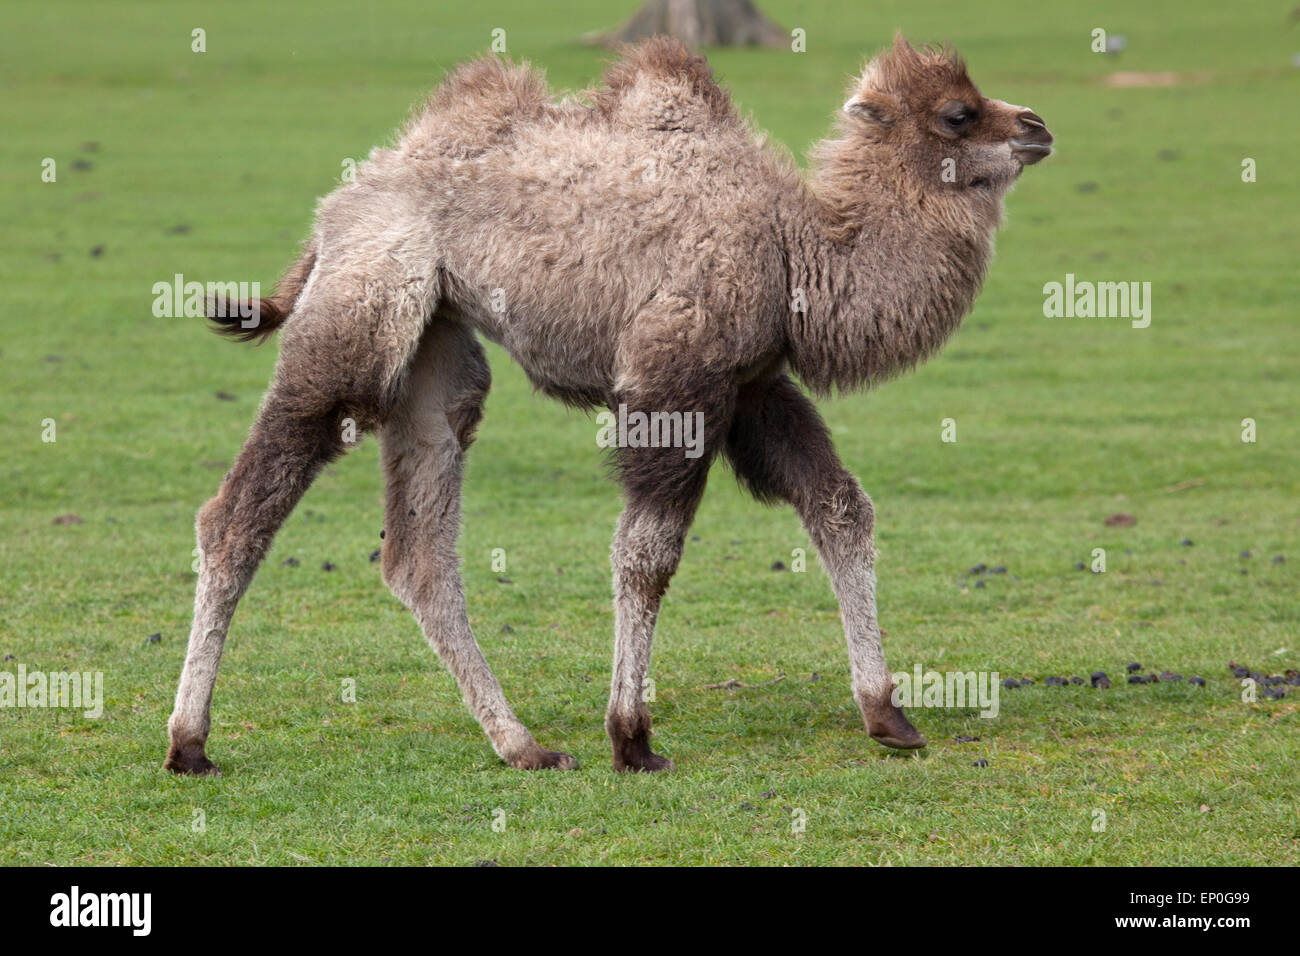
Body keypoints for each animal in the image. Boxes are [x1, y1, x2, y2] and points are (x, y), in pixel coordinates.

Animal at [166, 34, 1052, 775]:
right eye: (957, 112)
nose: (1038, 126)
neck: (796, 249)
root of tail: (338, 207)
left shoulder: (754, 383)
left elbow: (840, 507)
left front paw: (888, 716)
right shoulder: (676, 377)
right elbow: (648, 554)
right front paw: (632, 738)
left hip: (439, 346)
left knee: (418, 551)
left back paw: (522, 745)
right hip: (364, 305)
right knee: (242, 509)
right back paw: (189, 744)